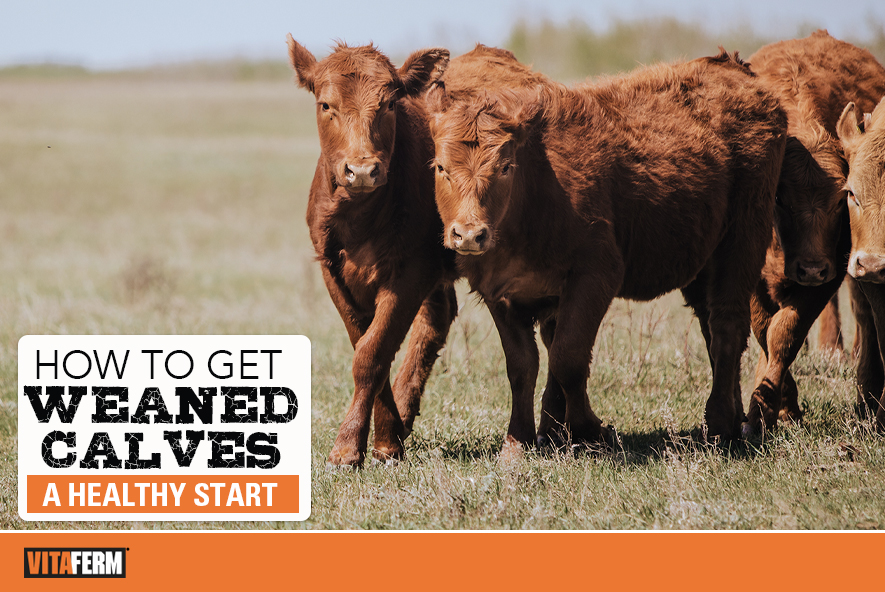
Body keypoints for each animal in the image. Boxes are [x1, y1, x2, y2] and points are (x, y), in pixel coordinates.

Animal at [287, 36, 458, 467]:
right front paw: (388, 435)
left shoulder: (411, 271)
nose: (362, 170)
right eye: (325, 105)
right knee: (437, 318)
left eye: (389, 104)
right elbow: (363, 341)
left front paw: (349, 446)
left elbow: (372, 353)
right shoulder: (333, 272)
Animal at [425, 50, 787, 453]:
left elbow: (567, 357)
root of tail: (735, 70)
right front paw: (519, 442)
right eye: (441, 167)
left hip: (742, 239)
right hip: (701, 260)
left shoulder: (596, 274)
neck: (534, 191)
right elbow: (523, 366)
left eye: (505, 167)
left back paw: (721, 425)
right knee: (712, 329)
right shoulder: (500, 293)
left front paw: (589, 430)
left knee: (727, 325)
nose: (470, 235)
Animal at [745, 31, 885, 433]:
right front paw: (779, 405)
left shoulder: (832, 272)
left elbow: (785, 333)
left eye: (841, 199)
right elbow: (765, 331)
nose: (810, 268)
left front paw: (768, 411)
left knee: (864, 314)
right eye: (780, 198)